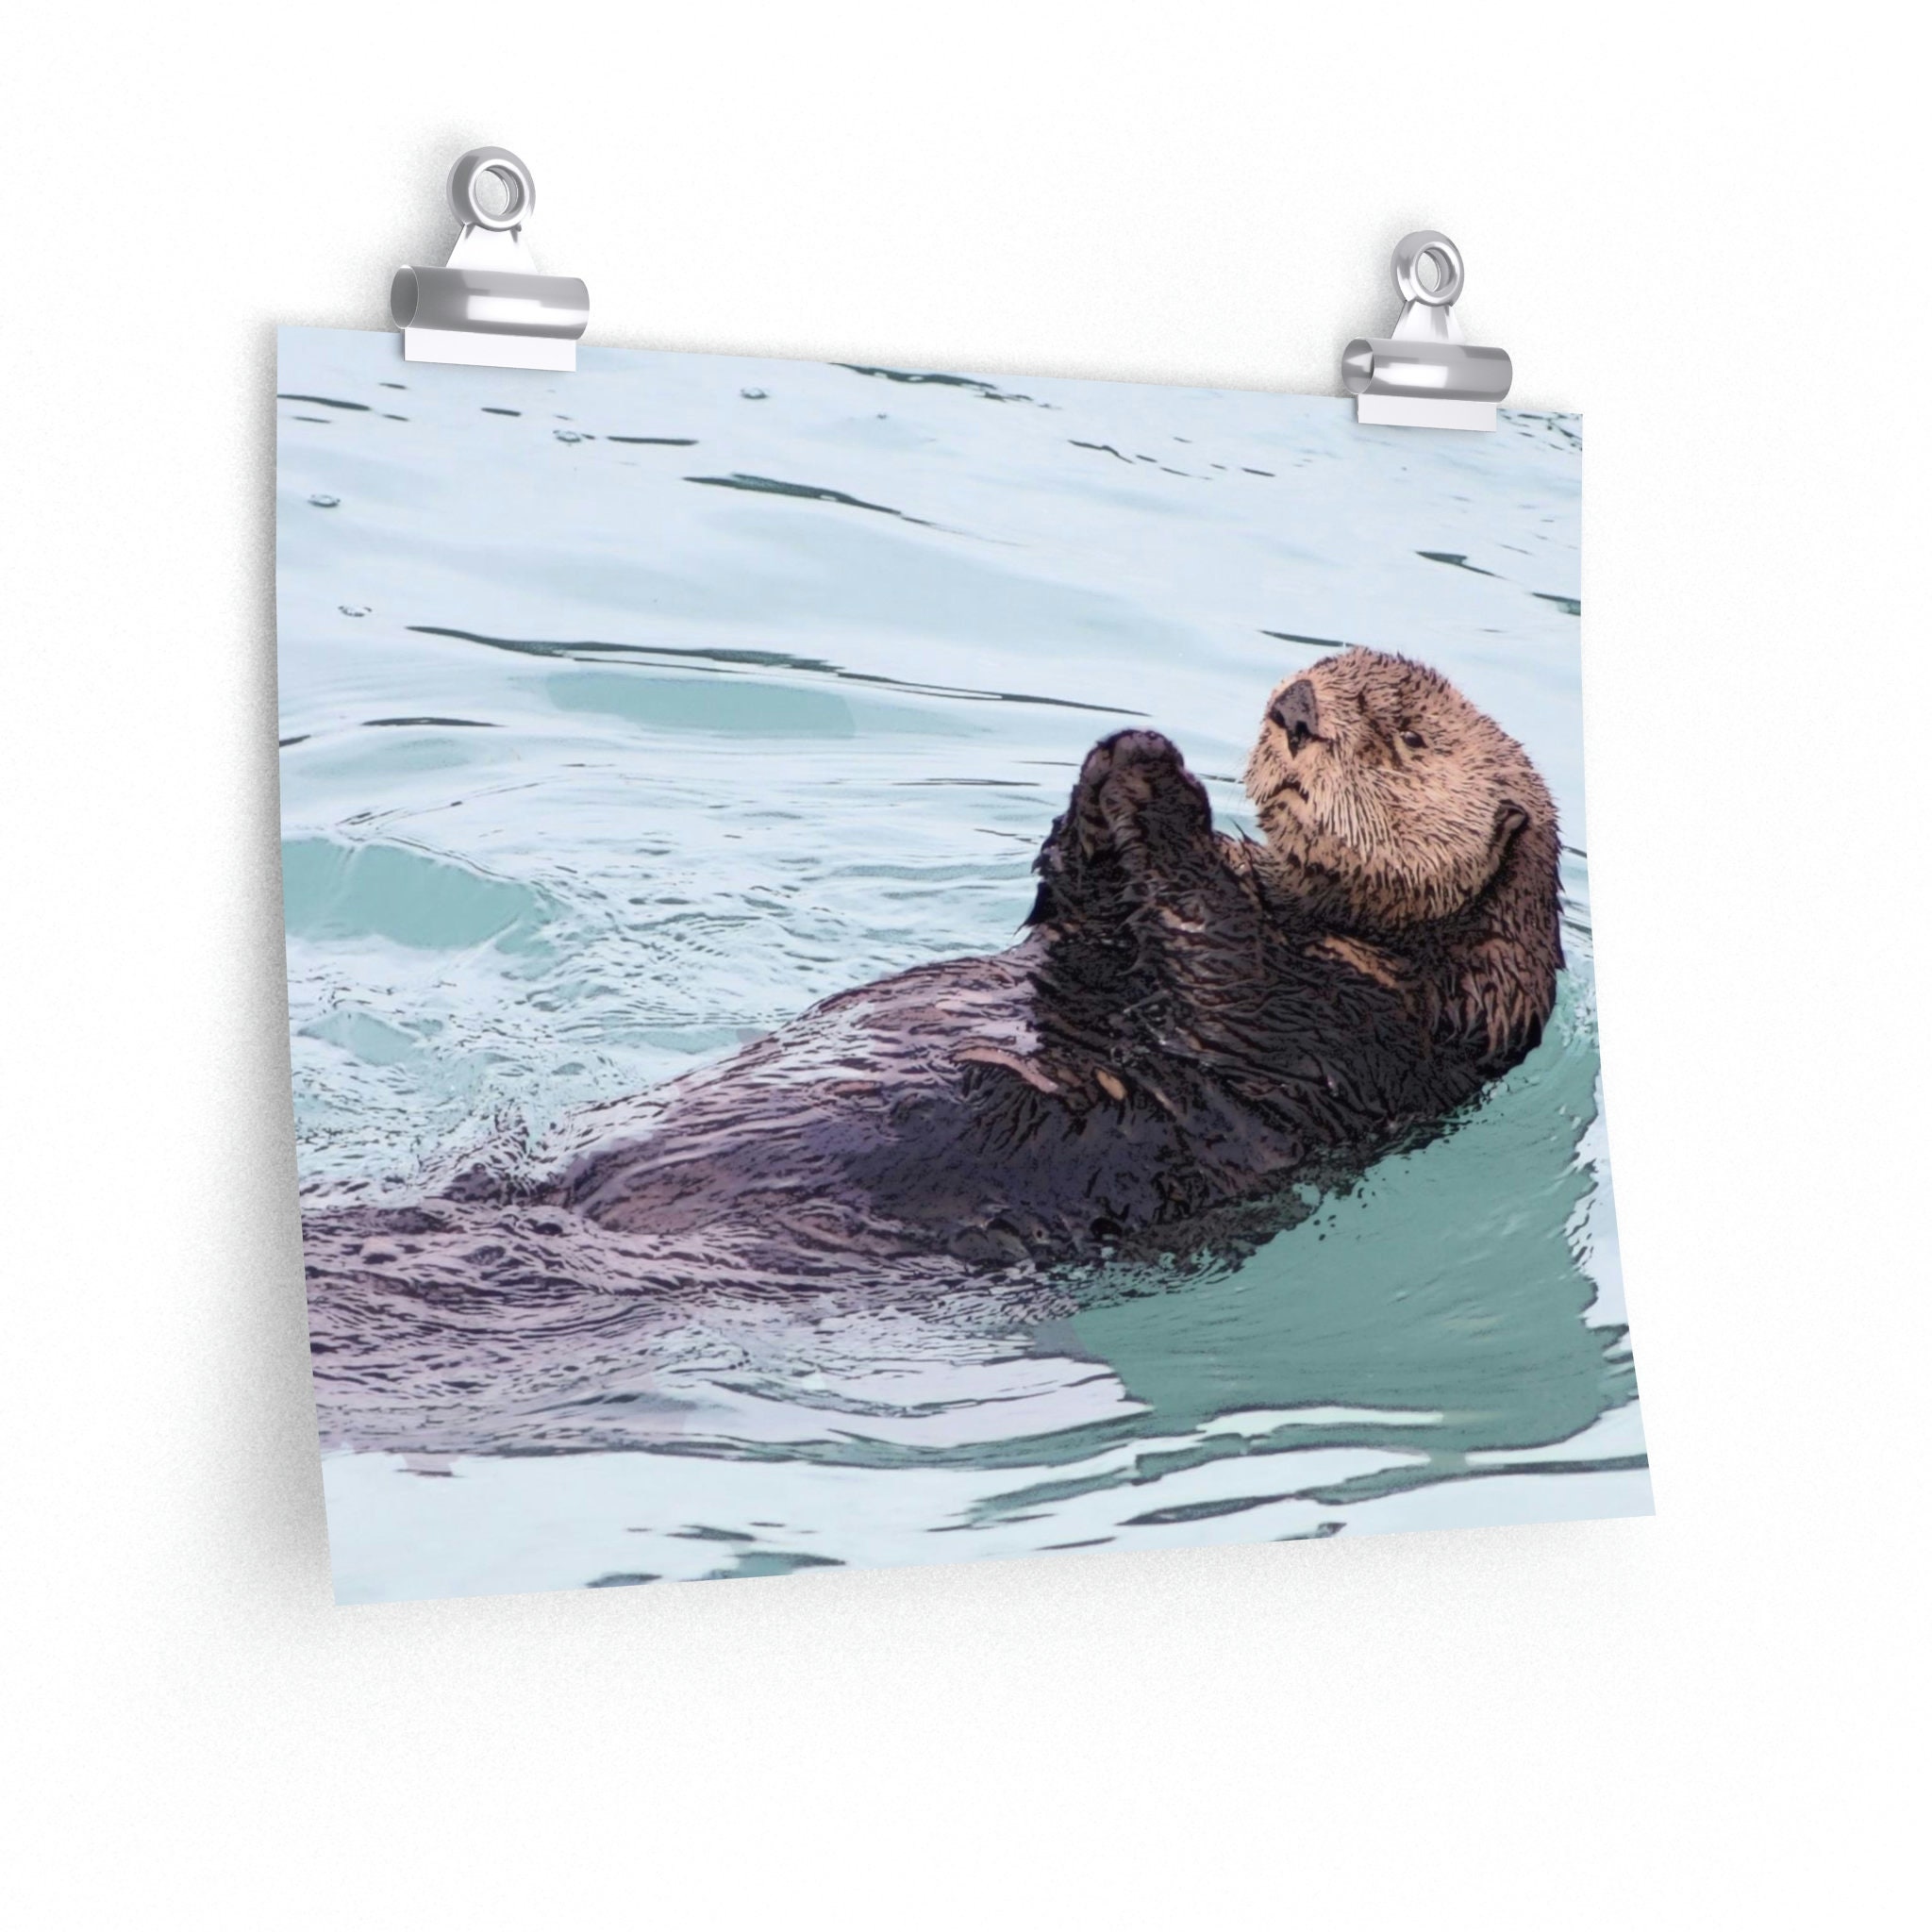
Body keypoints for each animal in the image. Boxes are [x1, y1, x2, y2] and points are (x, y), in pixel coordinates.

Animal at [303, 649, 1562, 1445]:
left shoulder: (1356, 1025)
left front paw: (1159, 782)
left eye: (1406, 737)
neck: (1343, 930)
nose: (1294, 705)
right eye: (1317, 666)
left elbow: (1211, 958)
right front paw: (1120, 766)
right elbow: (1084, 925)